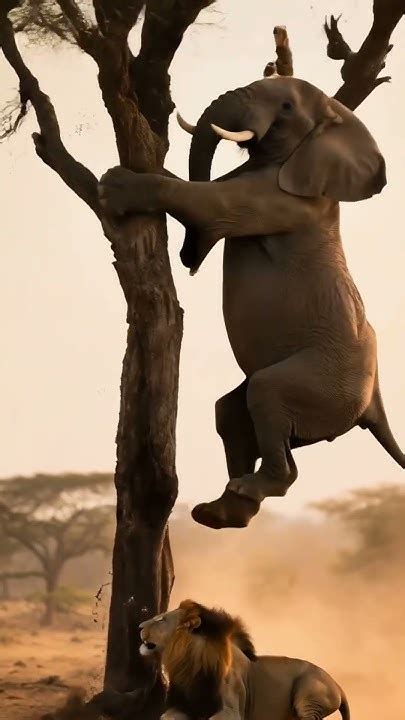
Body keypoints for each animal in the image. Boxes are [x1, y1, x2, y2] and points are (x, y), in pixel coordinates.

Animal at [98, 75, 404, 530]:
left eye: (286, 107)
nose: (187, 260)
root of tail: (374, 404)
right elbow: (214, 191)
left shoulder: (282, 199)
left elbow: (210, 203)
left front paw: (112, 186)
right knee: (229, 411)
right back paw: (219, 512)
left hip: (324, 381)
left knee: (265, 393)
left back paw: (246, 491)